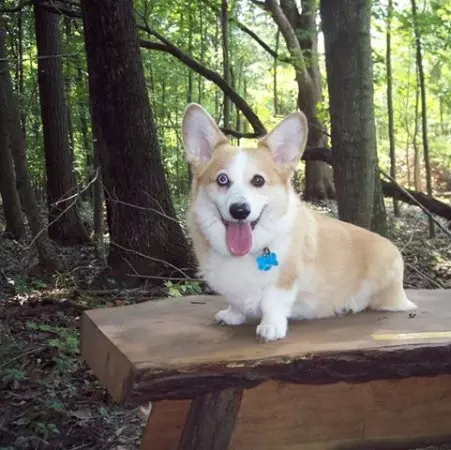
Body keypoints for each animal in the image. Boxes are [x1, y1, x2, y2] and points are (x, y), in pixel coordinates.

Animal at [181, 103, 416, 342]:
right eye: (222, 180)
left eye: (258, 180)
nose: (239, 211)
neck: (248, 252)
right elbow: (236, 303)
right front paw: (232, 315)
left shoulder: (284, 281)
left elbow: (272, 303)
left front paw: (270, 327)